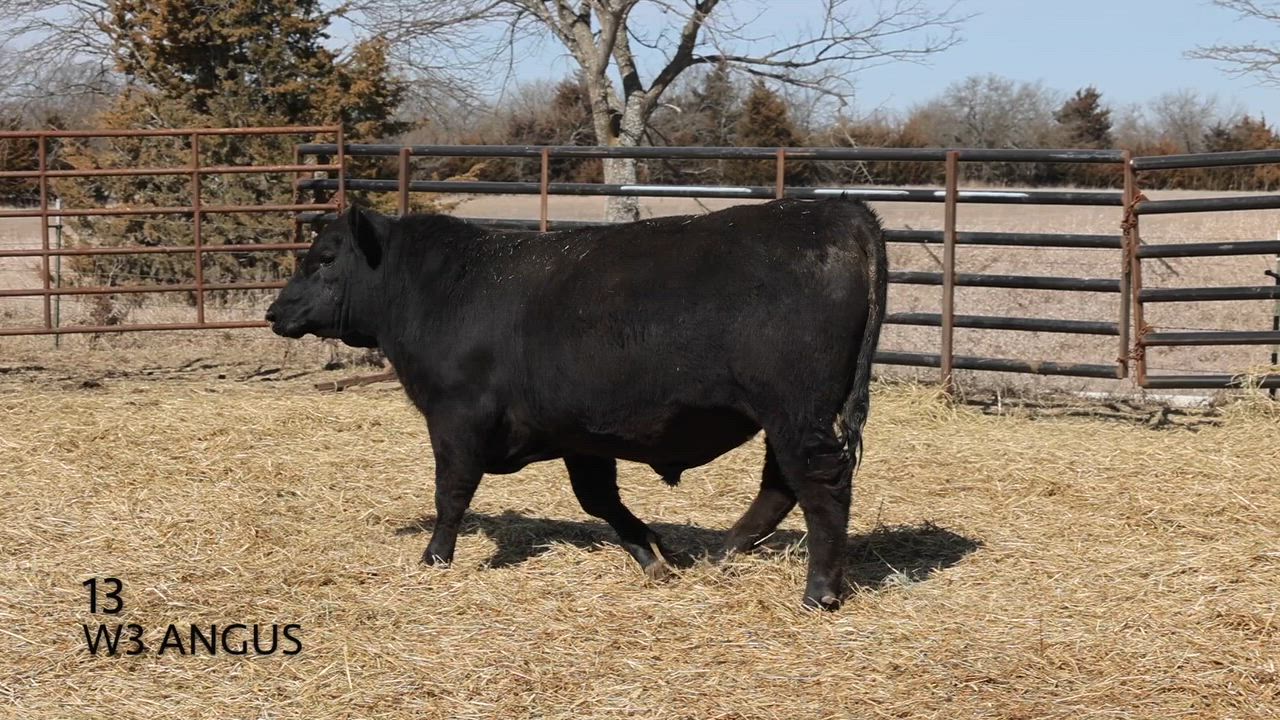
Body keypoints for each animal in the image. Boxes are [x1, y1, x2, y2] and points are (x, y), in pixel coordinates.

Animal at [265, 197, 888, 609]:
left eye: (325, 257)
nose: (275, 311)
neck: (440, 291)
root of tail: (838, 210)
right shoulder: (581, 435)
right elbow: (599, 501)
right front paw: (654, 555)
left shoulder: (456, 418)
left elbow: (451, 494)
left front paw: (434, 558)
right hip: (784, 417)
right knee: (780, 487)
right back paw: (720, 556)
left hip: (796, 411)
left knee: (820, 486)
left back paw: (819, 591)